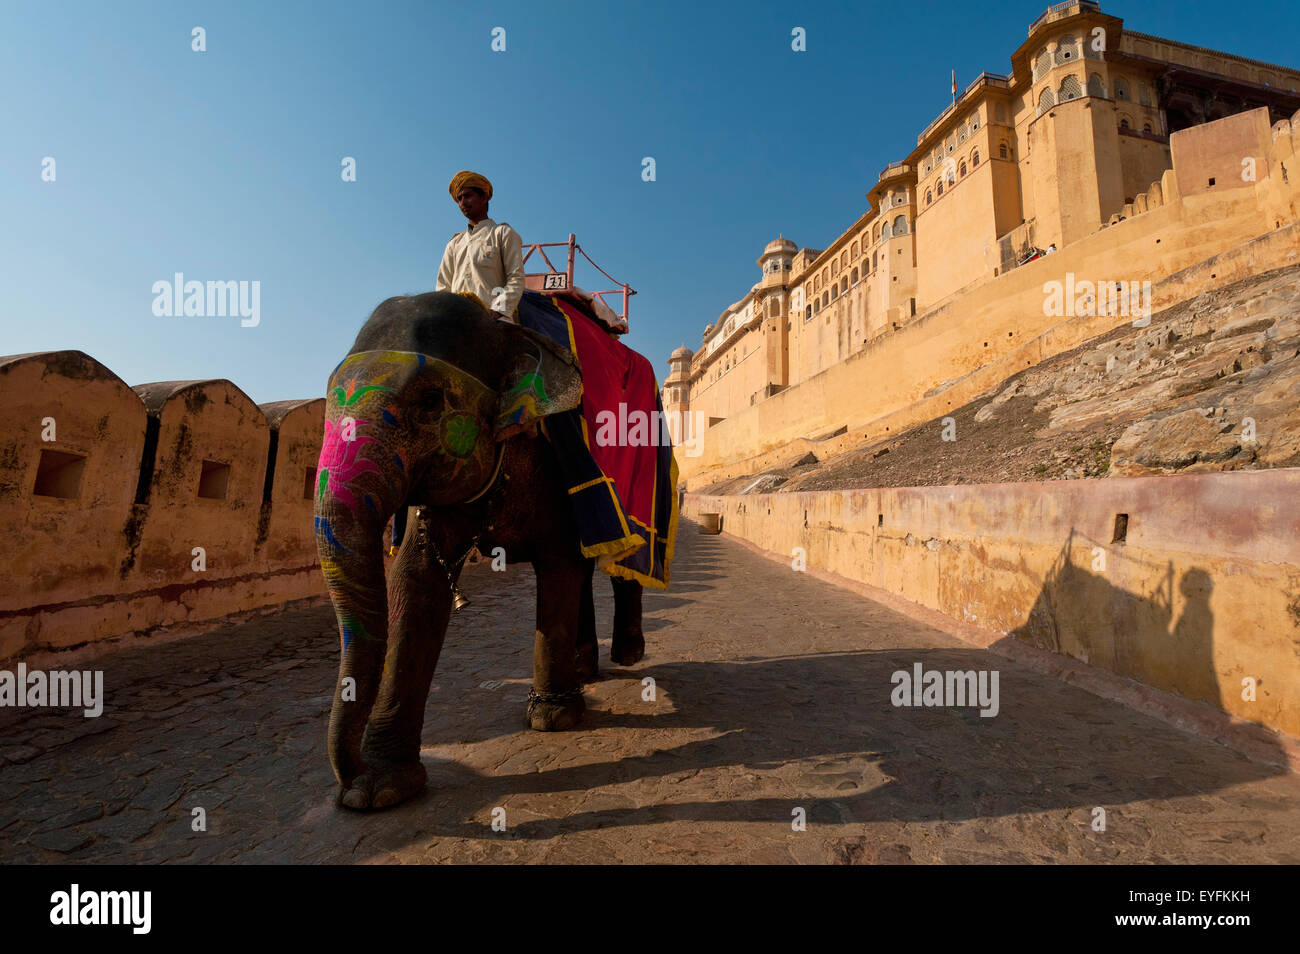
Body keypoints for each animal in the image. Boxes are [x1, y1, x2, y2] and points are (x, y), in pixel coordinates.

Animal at [314, 291, 647, 811]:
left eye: (431, 401)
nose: (350, 778)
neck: (505, 330)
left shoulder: (557, 451)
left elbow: (559, 563)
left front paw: (552, 719)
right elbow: (414, 578)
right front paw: (380, 790)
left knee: (618, 563)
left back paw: (627, 657)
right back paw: (585, 670)